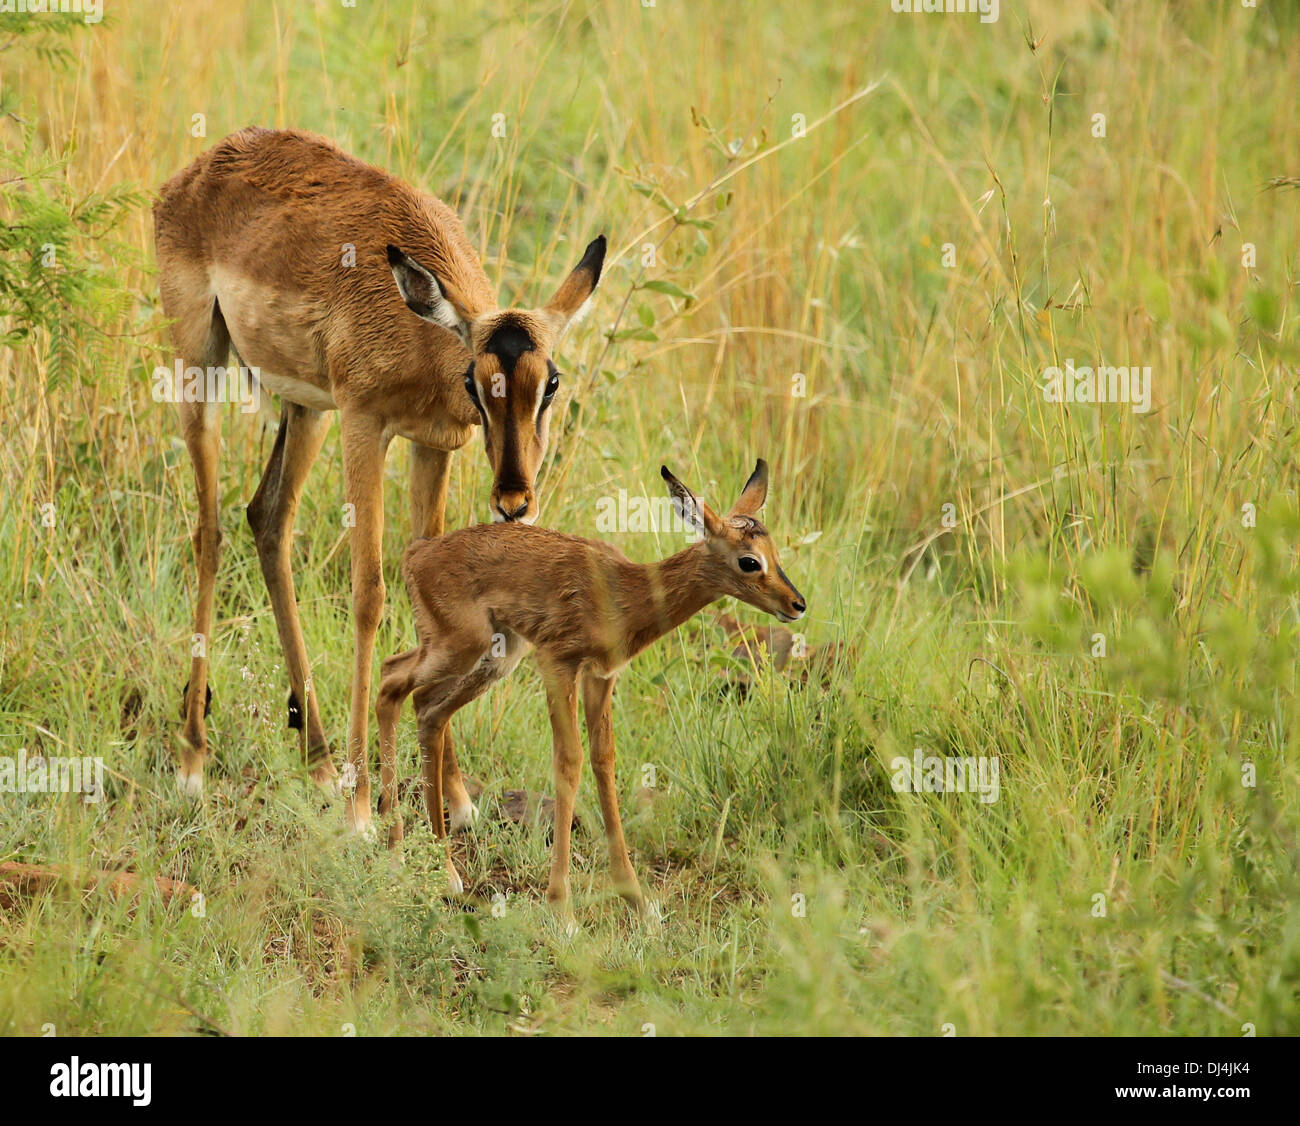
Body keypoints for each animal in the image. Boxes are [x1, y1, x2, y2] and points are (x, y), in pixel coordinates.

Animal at [153, 127, 606, 835]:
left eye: (551, 383)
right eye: (476, 381)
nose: (514, 501)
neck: (422, 335)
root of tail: (203, 166)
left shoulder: (431, 447)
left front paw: (457, 799)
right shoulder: (366, 425)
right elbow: (368, 594)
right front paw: (365, 810)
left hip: (305, 409)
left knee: (268, 521)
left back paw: (316, 762)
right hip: (202, 366)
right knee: (209, 532)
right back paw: (194, 764)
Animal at [376, 460, 806, 914]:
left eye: (774, 554)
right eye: (749, 561)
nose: (797, 605)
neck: (625, 589)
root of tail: (417, 554)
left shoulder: (600, 677)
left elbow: (603, 760)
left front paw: (635, 897)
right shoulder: (557, 665)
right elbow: (569, 761)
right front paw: (562, 908)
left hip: (494, 658)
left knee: (427, 709)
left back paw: (443, 866)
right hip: (460, 648)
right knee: (390, 681)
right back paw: (406, 858)